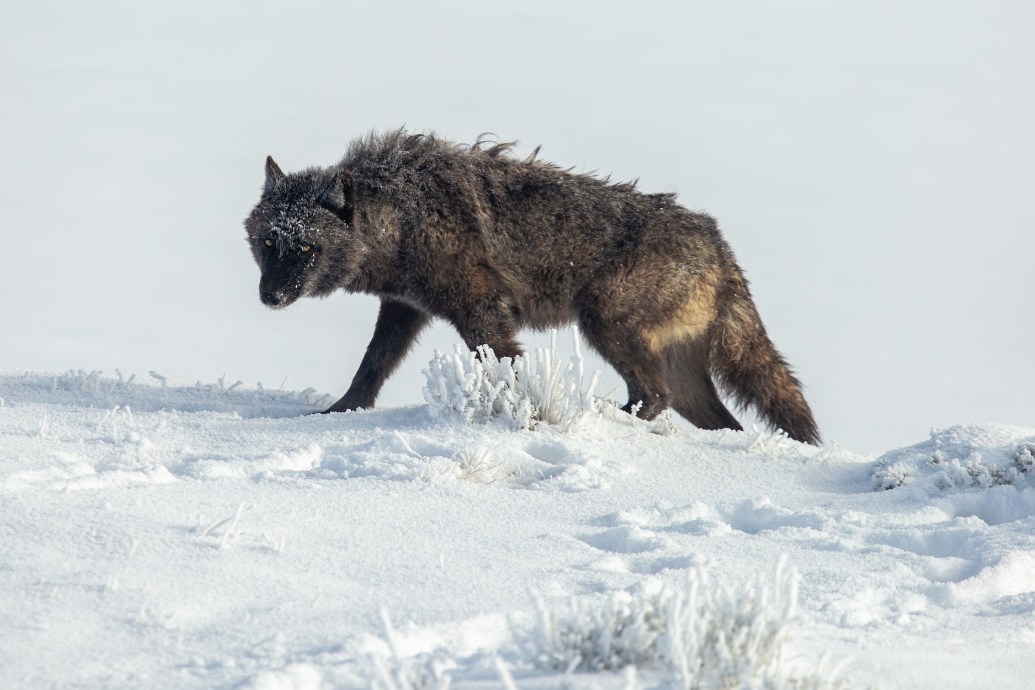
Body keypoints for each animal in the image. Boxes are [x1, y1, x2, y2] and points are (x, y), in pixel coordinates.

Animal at [244, 129, 820, 444]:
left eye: (305, 248)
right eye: (270, 241)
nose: (270, 297)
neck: (403, 217)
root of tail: (718, 245)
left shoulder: (481, 310)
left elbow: (506, 369)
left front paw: (528, 417)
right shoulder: (404, 309)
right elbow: (371, 367)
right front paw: (335, 414)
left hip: (603, 322)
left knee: (653, 395)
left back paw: (597, 416)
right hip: (681, 372)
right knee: (722, 423)